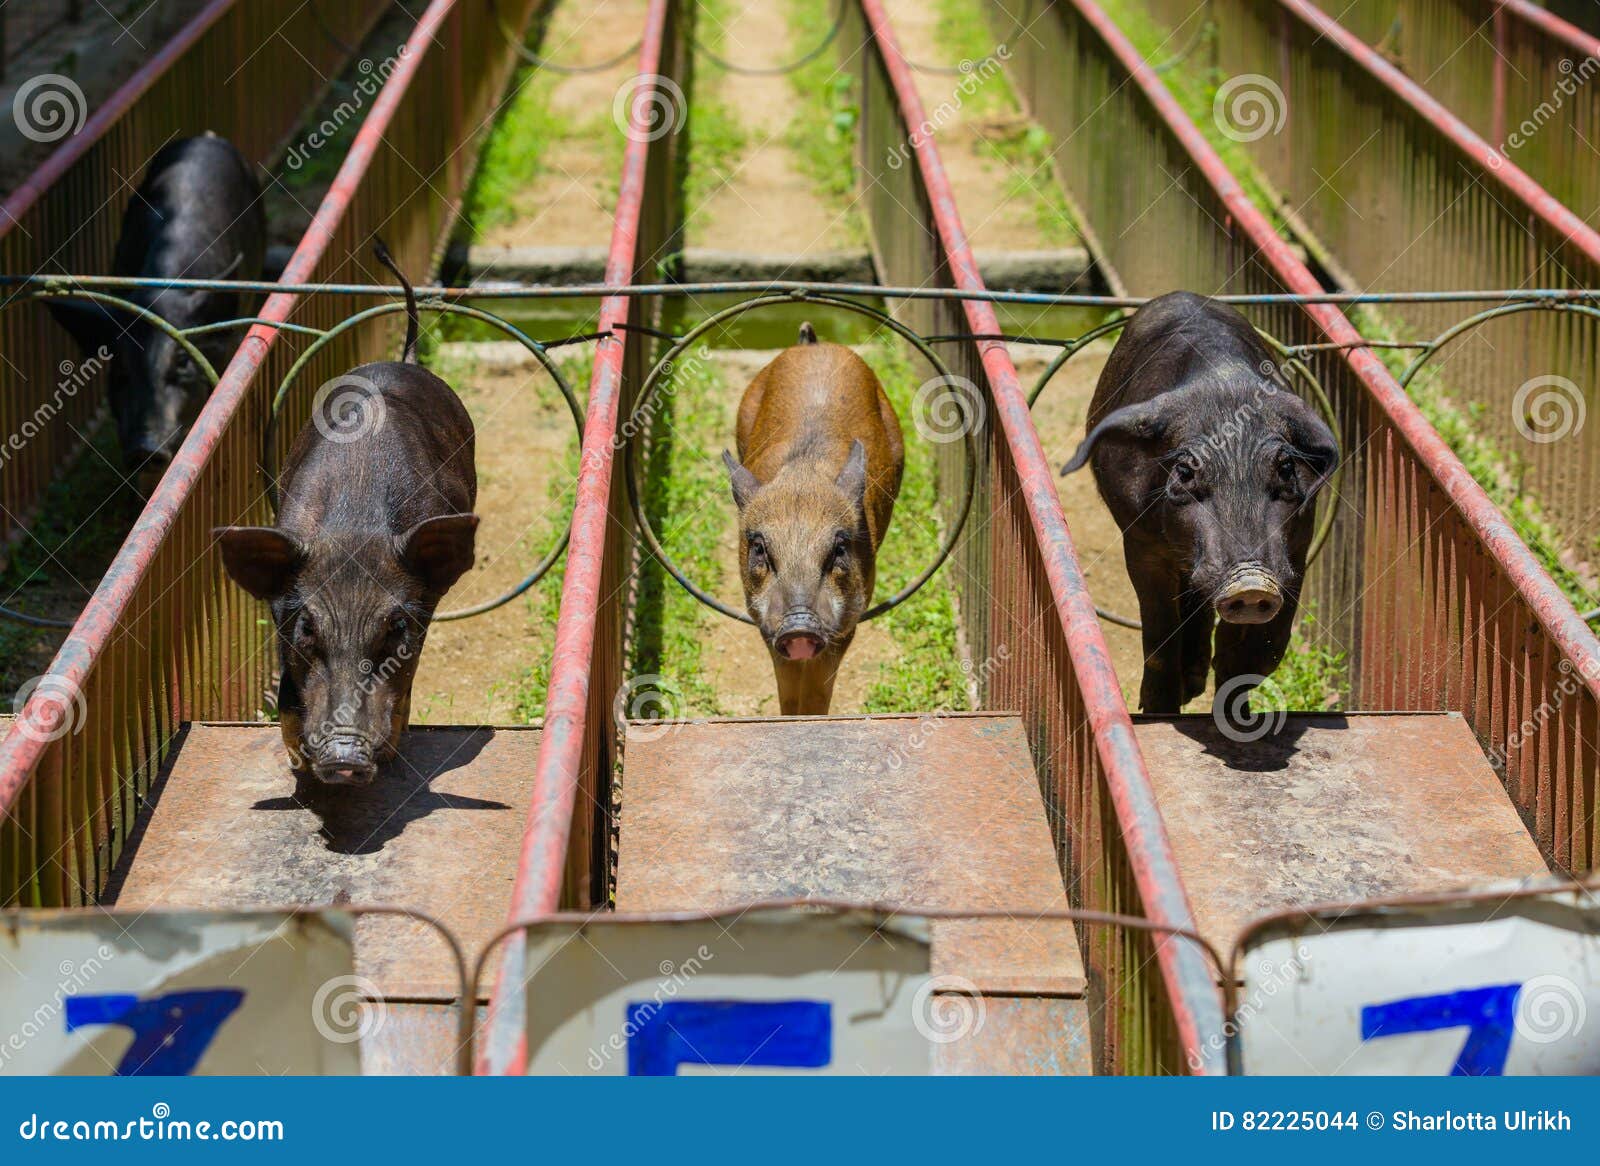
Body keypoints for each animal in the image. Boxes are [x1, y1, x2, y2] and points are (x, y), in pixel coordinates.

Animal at [214, 243, 477, 785]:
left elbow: (406, 681)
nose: (344, 757)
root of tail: (405, 357)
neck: (355, 523)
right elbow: (287, 695)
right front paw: (298, 765)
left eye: (395, 628)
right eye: (307, 628)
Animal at [723, 323, 904, 716]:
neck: (802, 476)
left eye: (839, 548)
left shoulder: (847, 621)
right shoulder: (764, 620)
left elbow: (820, 692)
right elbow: (789, 691)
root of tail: (812, 345)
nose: (799, 627)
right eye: (759, 548)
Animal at [1060, 292, 1338, 714]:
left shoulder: (1297, 545)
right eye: (1185, 471)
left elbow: (1268, 647)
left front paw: (1232, 701)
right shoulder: (1139, 540)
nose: (1250, 583)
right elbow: (1160, 630)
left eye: (1286, 467)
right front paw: (1156, 710)